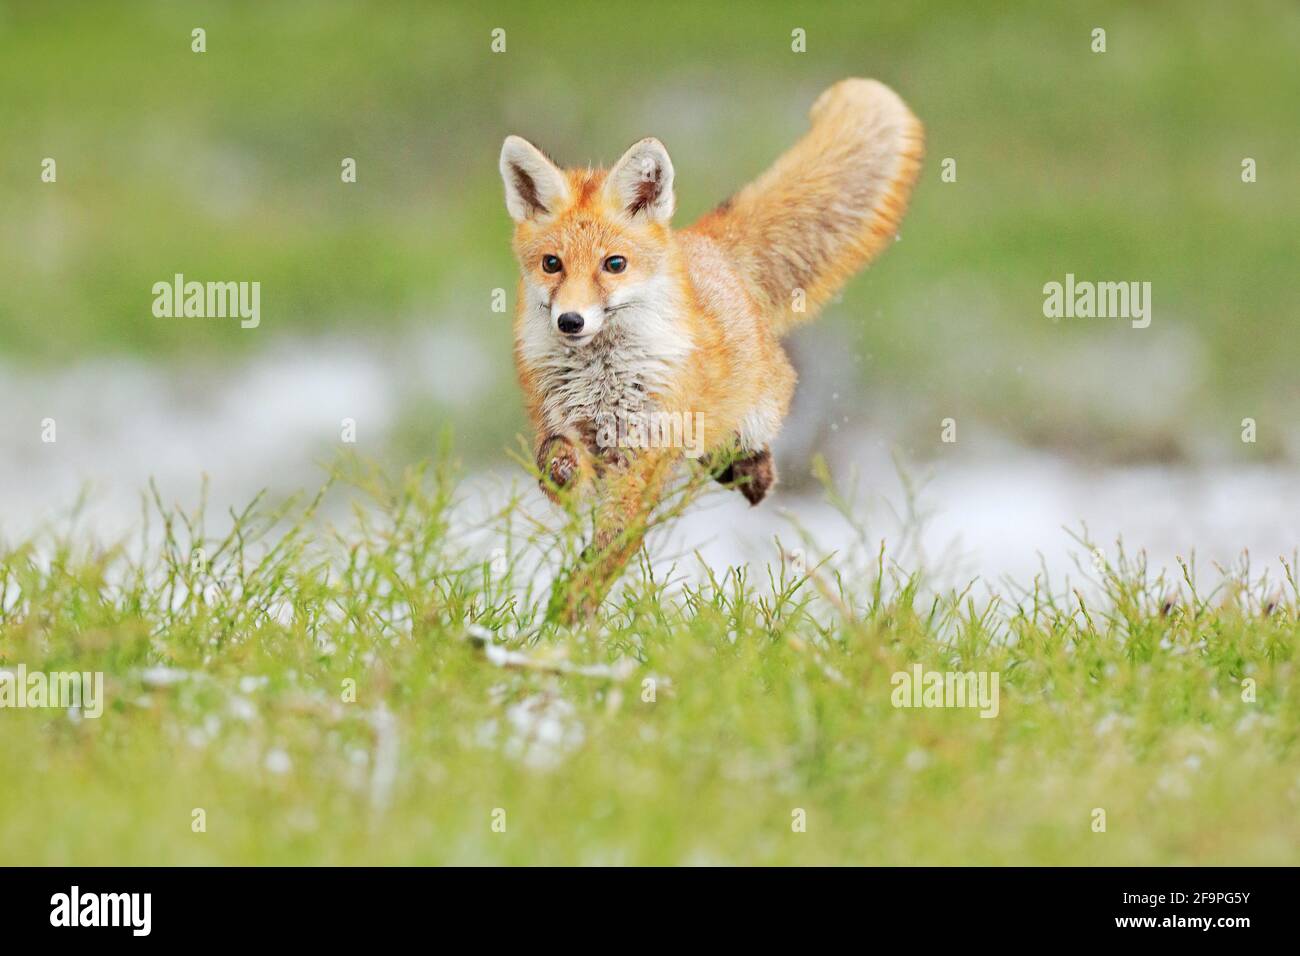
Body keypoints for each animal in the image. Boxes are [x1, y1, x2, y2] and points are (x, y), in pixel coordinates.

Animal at [500, 77, 923, 619]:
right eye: (552, 264)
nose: (570, 321)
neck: (603, 376)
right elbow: (553, 458)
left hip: (752, 407)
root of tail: (701, 243)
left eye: (614, 264)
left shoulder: (645, 454)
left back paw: (753, 473)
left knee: (754, 435)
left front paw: (572, 609)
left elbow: (610, 547)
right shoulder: (558, 420)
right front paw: (563, 478)